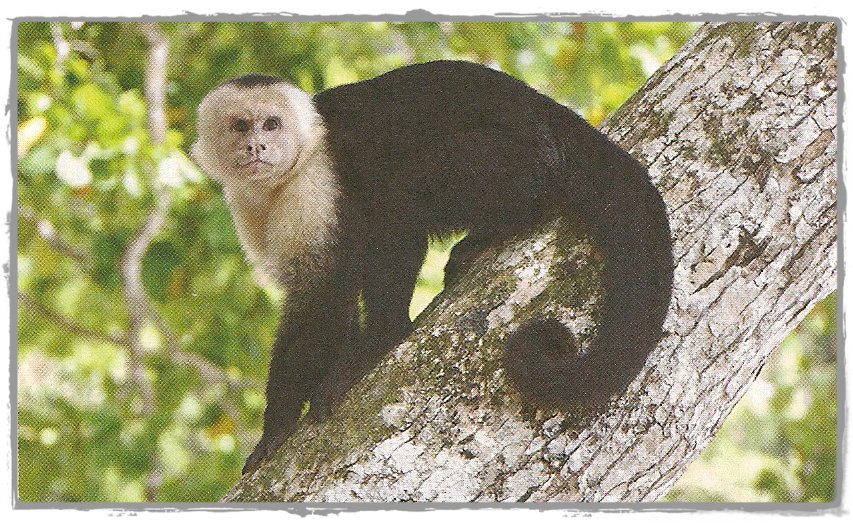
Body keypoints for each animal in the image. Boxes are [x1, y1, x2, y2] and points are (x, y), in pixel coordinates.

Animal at [191, 60, 674, 475]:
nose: (257, 145)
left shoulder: (316, 187)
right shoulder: (248, 205)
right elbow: (308, 298)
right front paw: (277, 422)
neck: (286, 177)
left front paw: (279, 426)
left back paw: (384, 334)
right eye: (240, 125)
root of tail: (548, 112)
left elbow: (327, 297)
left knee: (401, 196)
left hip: (522, 158)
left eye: (272, 124)